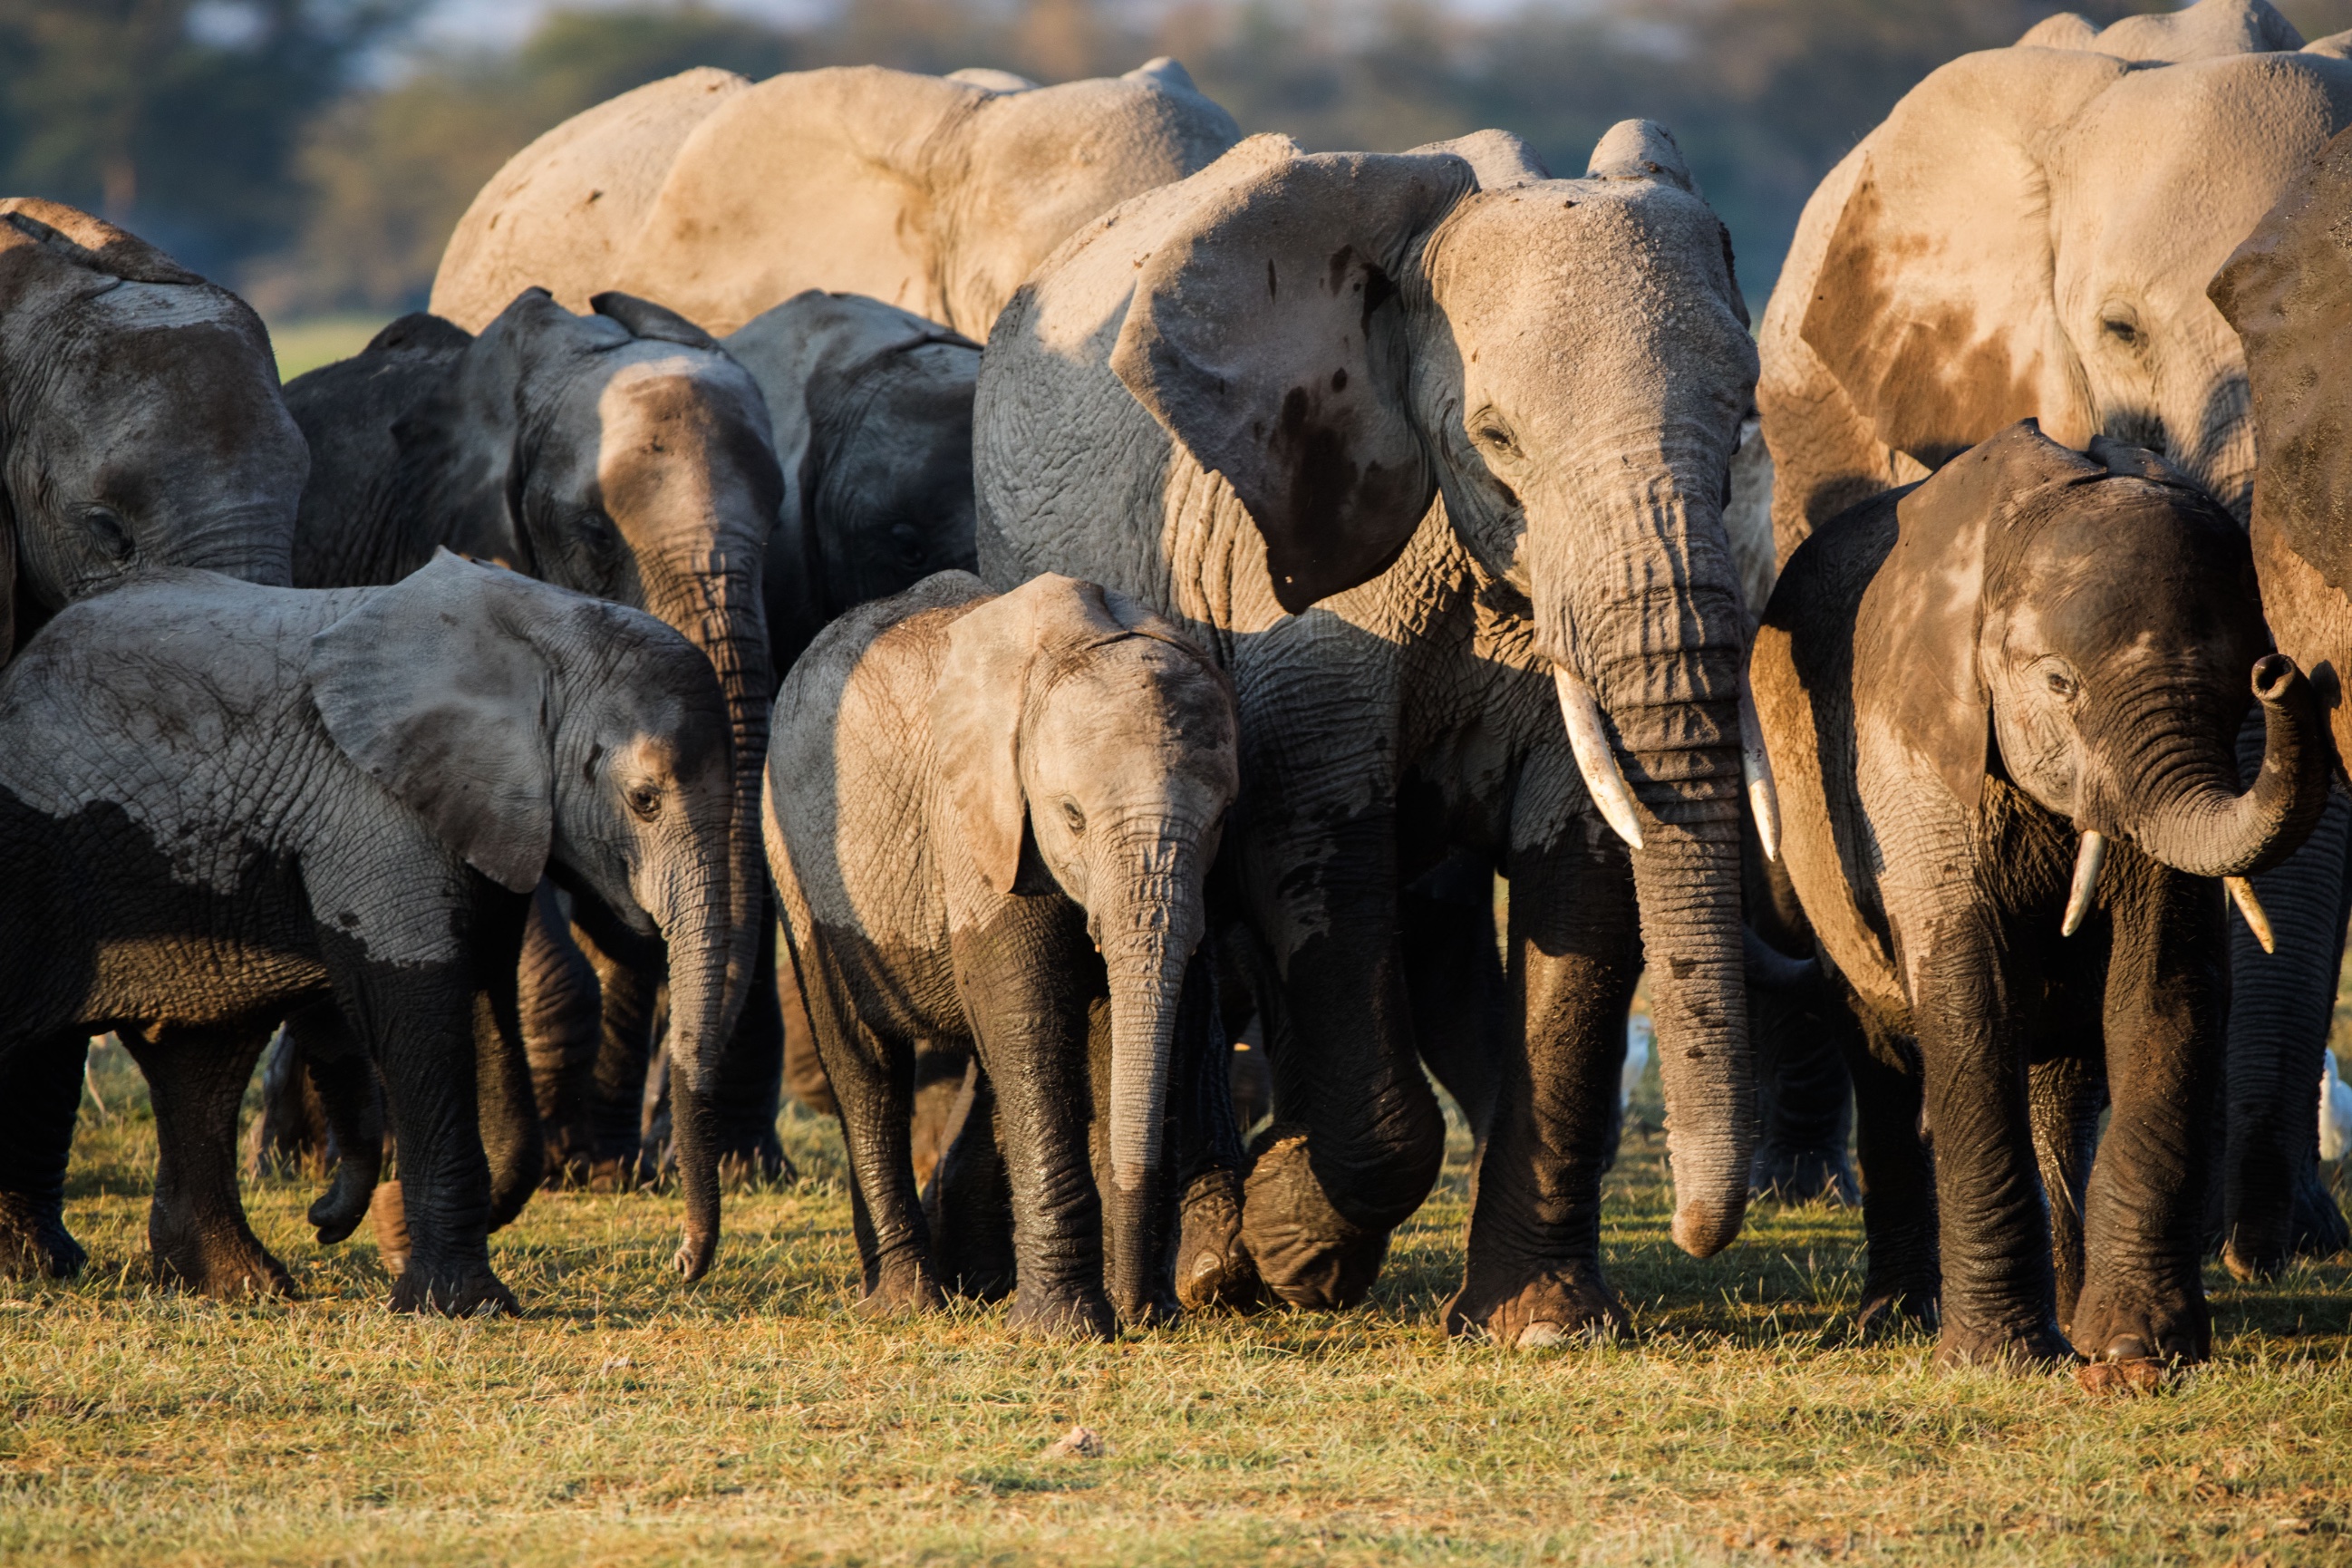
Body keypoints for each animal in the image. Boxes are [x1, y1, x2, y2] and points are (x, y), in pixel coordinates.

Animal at [0, 552, 742, 1310]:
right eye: (644, 800)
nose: (682, 1263)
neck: (544, 629)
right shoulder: (369, 807)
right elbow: (420, 1013)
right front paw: (459, 1304)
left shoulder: (490, 812)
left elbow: (486, 1000)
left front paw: (395, 1235)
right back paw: (51, 1269)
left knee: (200, 1062)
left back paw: (243, 1285)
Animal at [766, 570, 1243, 1336]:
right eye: (1071, 816)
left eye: (1224, 816)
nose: (1143, 1310)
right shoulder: (975, 824)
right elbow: (1028, 1018)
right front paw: (1065, 1330)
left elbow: (1156, 1022)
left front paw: (1139, 1309)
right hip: (793, 857)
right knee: (864, 1062)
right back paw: (905, 1303)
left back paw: (969, 1286)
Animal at [975, 120, 1764, 1326]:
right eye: (1497, 438)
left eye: (1741, 430)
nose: (1697, 1226)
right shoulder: (1296, 582)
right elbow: (1318, 839)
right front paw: (1295, 1247)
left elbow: (1586, 871)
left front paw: (1542, 1324)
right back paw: (1218, 1264)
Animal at [1751, 422, 2328, 1372]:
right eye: (2058, 685)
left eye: (2236, 682)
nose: (2281, 673)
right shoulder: (1906, 750)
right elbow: (1968, 991)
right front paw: (1997, 1359)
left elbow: (2161, 982)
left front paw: (2137, 1349)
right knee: (1879, 1055)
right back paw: (1900, 1316)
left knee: (2060, 1082)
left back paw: (2069, 1316)